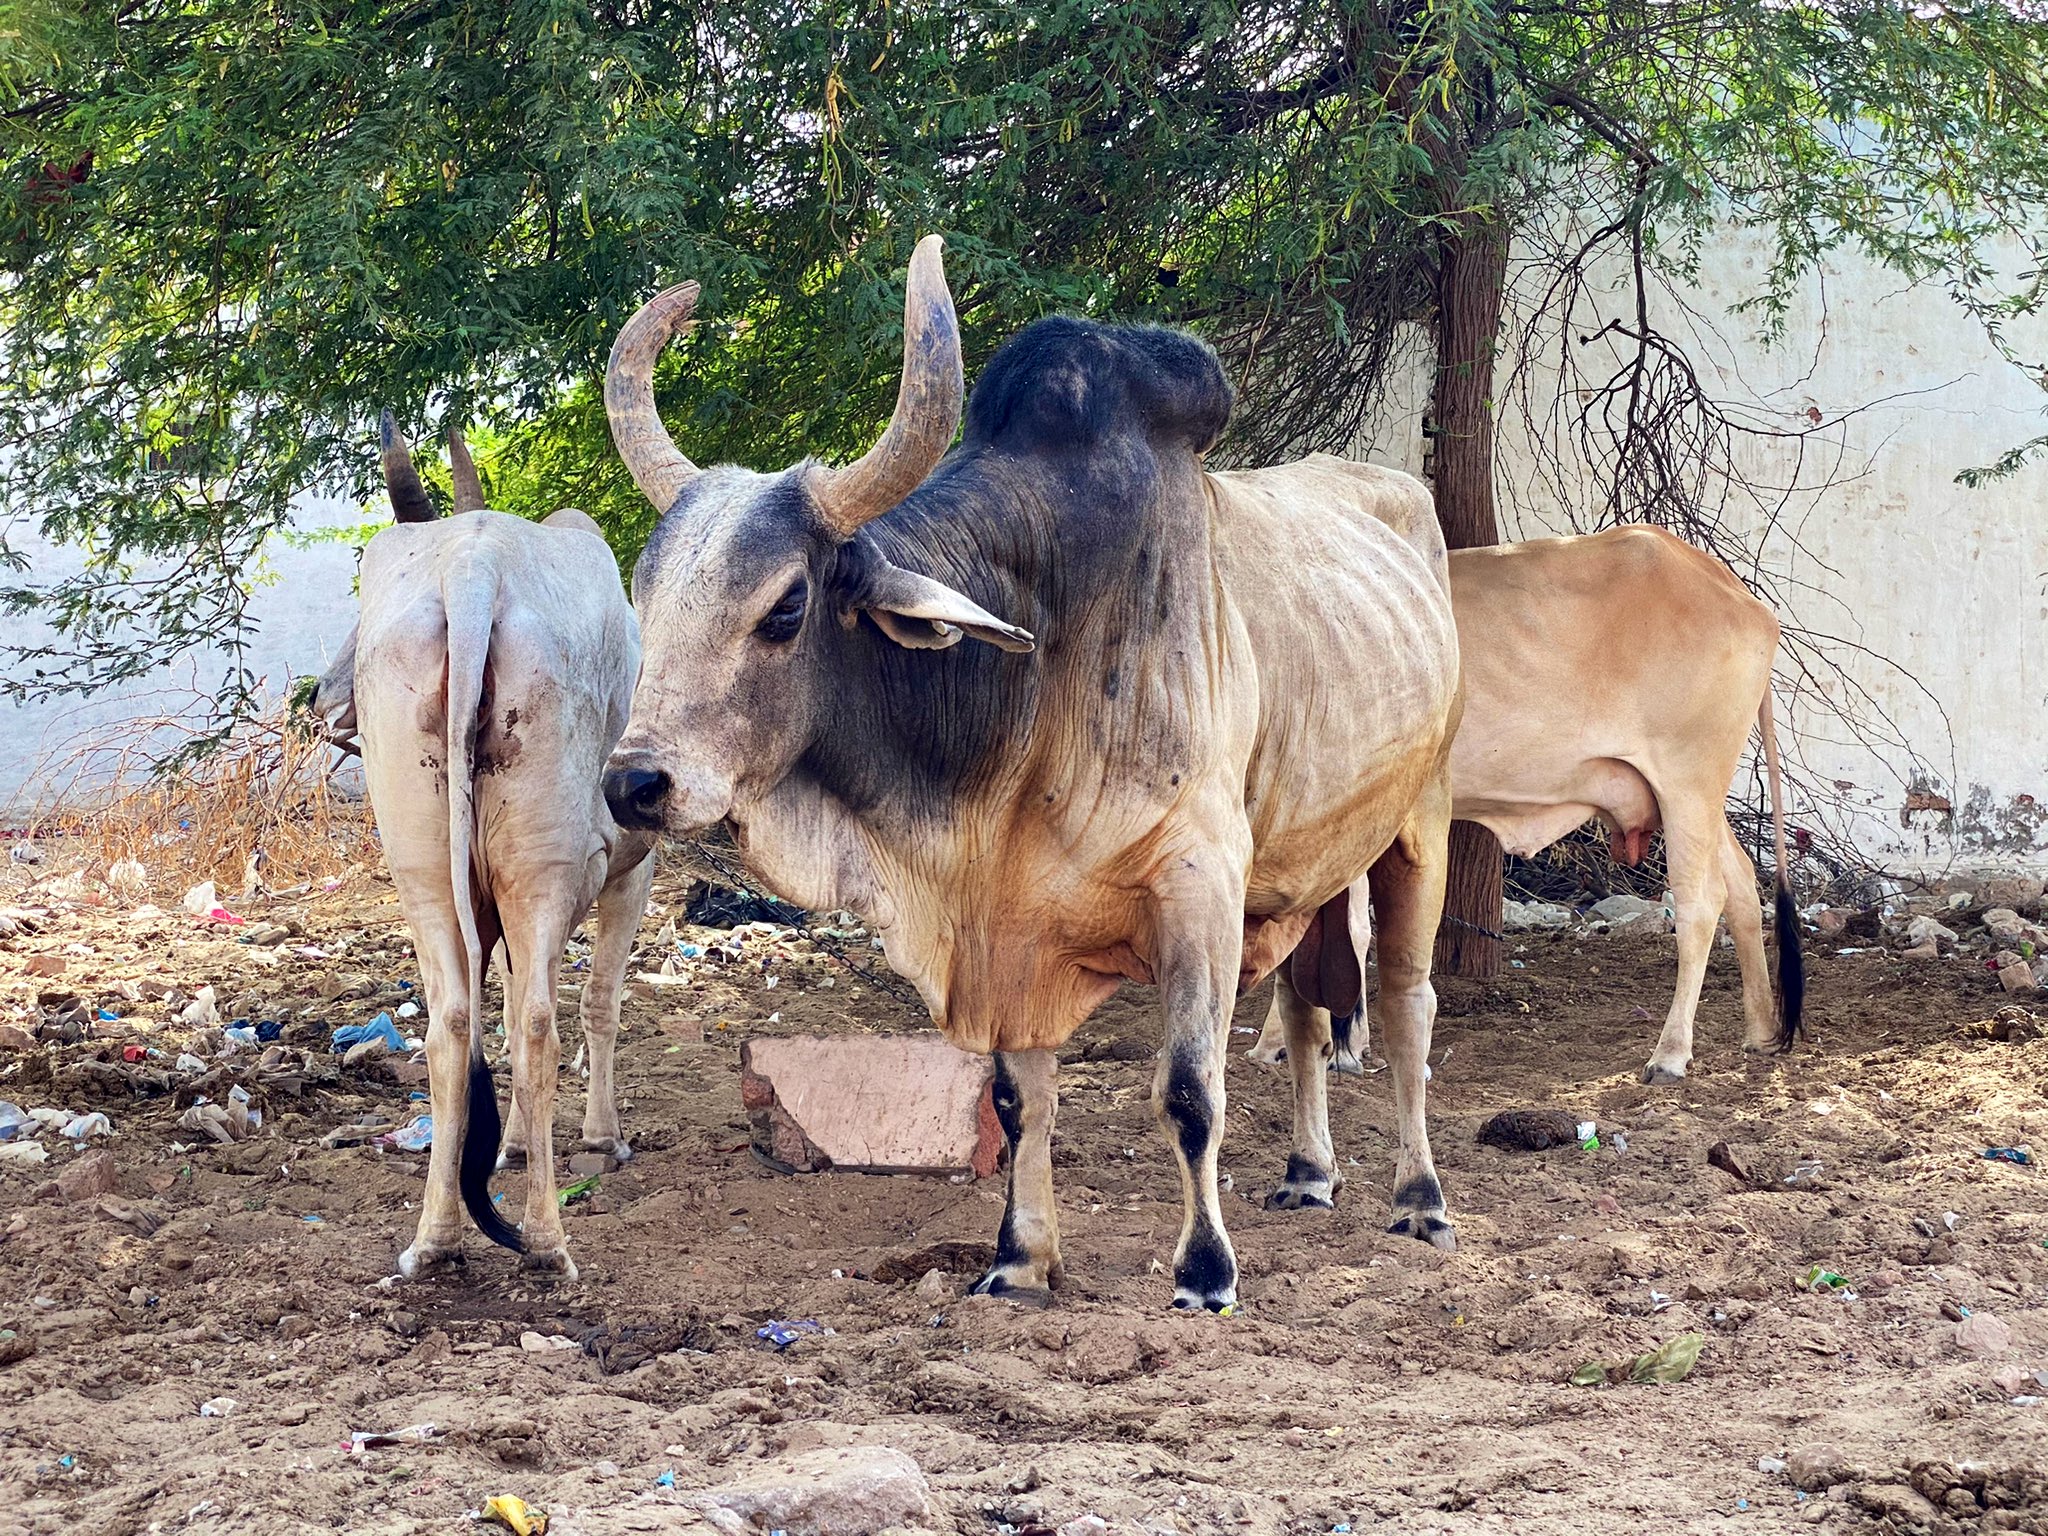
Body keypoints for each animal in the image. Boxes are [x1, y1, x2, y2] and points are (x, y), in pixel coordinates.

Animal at [336, 415, 654, 1278]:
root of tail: (473, 568)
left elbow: (501, 1012)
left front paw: (509, 1144)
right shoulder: (633, 868)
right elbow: (595, 1002)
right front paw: (603, 1138)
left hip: (421, 866)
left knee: (451, 1024)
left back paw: (435, 1239)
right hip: (539, 863)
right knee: (541, 1022)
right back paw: (545, 1242)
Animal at [596, 236, 1463, 1312]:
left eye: (786, 605)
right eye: (643, 592)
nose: (634, 783)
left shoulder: (1201, 885)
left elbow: (1190, 1093)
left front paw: (1205, 1271)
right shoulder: (1009, 928)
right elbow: (1018, 1100)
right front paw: (1020, 1259)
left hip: (1417, 831)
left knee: (1407, 1012)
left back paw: (1420, 1200)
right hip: (1308, 867)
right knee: (1307, 1010)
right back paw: (1308, 1176)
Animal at [1248, 525, 1804, 1083]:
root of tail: (1744, 600)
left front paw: (1298, 1044)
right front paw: (1338, 1044)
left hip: (1687, 784)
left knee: (1701, 901)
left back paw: (1670, 1053)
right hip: (1698, 800)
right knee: (1741, 885)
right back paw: (1760, 1030)